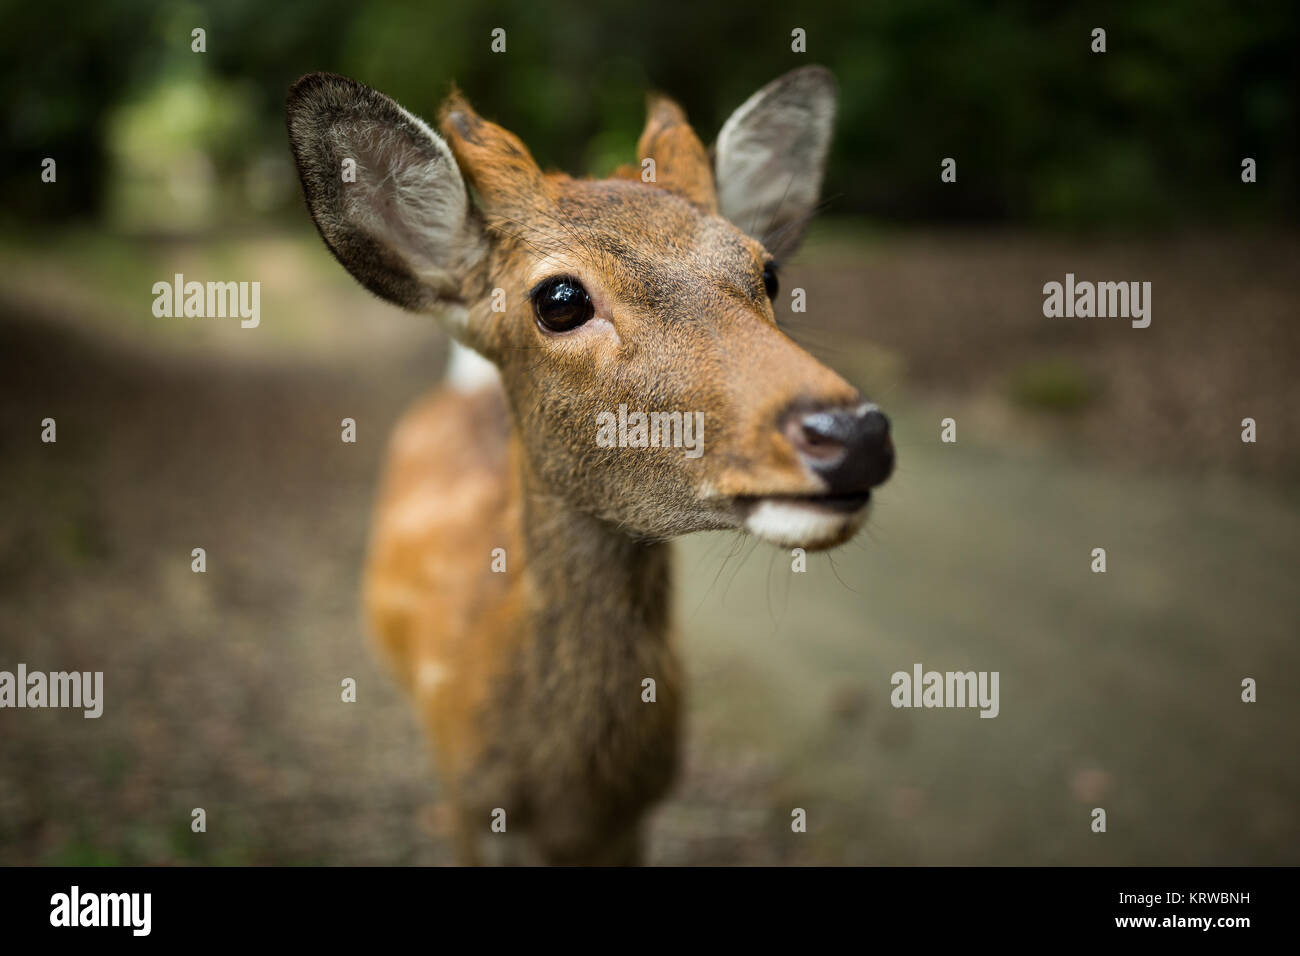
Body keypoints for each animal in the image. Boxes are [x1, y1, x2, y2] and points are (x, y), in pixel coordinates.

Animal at [285, 65, 894, 865]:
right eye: (560, 298)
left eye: (767, 271)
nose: (854, 433)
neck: (568, 798)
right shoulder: (475, 807)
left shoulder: (632, 822)